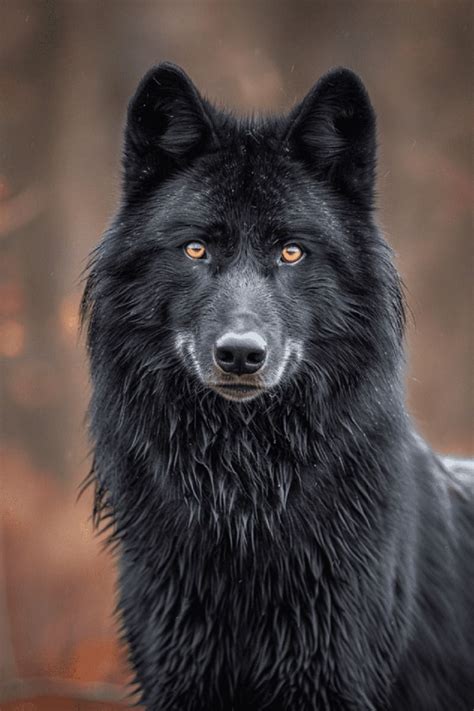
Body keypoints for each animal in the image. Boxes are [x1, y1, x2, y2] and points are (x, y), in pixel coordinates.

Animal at [81, 63, 474, 710]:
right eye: (196, 248)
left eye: (291, 252)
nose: (241, 354)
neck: (244, 500)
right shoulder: (178, 674)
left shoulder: (328, 678)